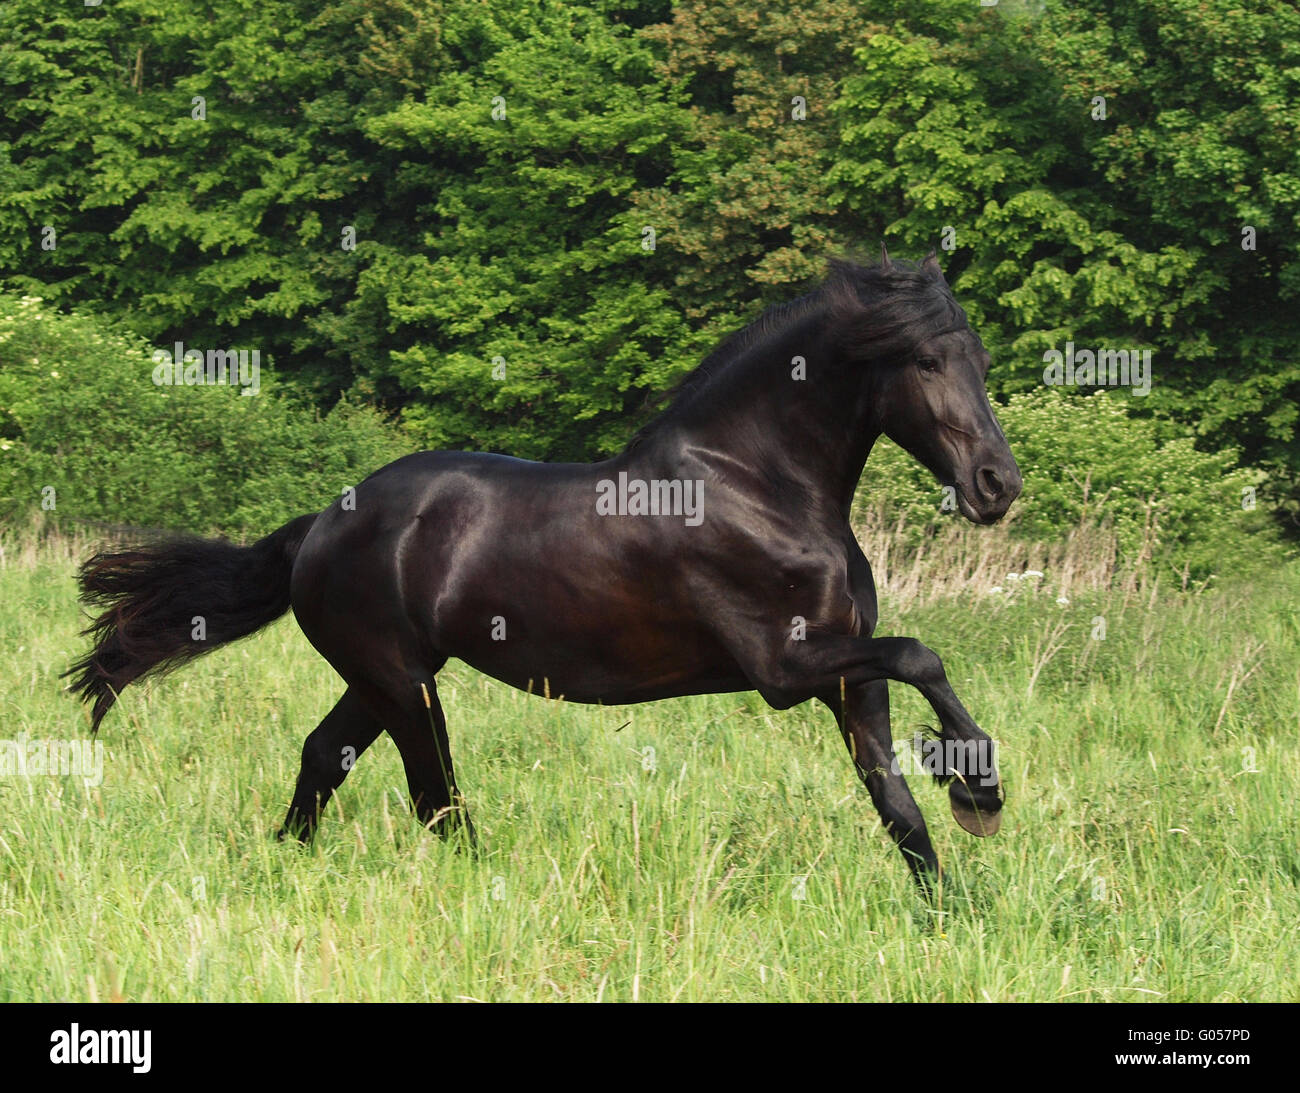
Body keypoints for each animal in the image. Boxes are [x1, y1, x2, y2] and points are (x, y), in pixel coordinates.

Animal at [66, 247, 1021, 892]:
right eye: (926, 360)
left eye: (978, 359)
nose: (996, 485)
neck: (755, 484)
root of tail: (320, 526)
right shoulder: (783, 668)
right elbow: (922, 653)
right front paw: (979, 787)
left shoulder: (847, 675)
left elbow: (898, 803)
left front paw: (947, 896)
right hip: (403, 681)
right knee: (435, 797)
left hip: (382, 679)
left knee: (322, 758)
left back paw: (286, 865)